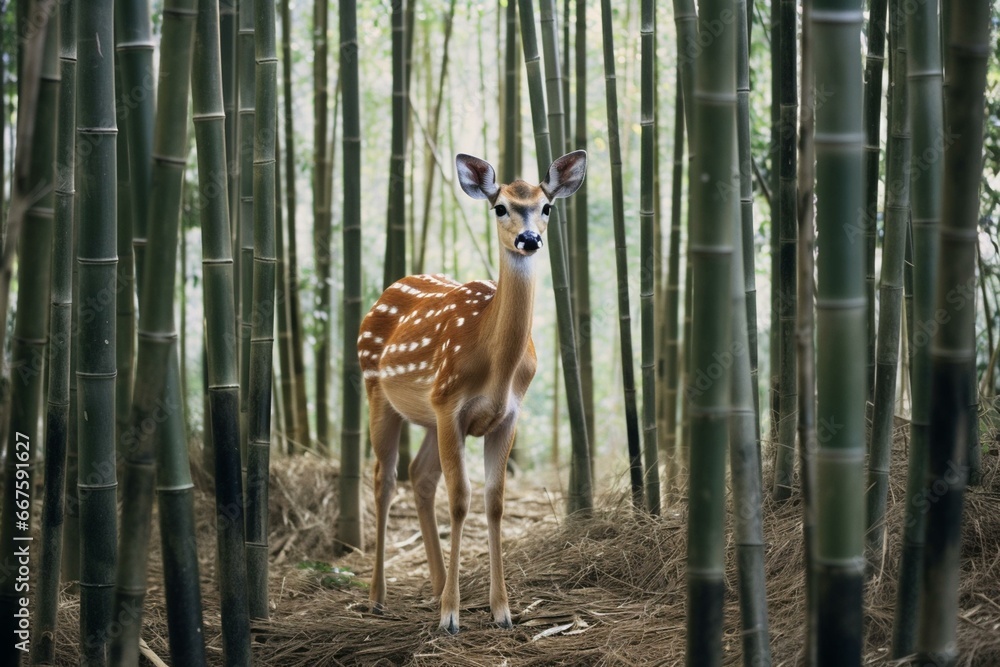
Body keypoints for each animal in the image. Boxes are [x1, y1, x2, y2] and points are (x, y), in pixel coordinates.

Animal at [356, 150, 587, 634]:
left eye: (547, 207)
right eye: (500, 207)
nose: (529, 239)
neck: (496, 367)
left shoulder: (507, 415)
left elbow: (494, 502)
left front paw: (502, 611)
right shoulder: (451, 406)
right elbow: (461, 500)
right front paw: (451, 616)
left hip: (426, 417)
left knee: (419, 476)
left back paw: (435, 584)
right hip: (377, 391)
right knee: (384, 478)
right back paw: (377, 597)